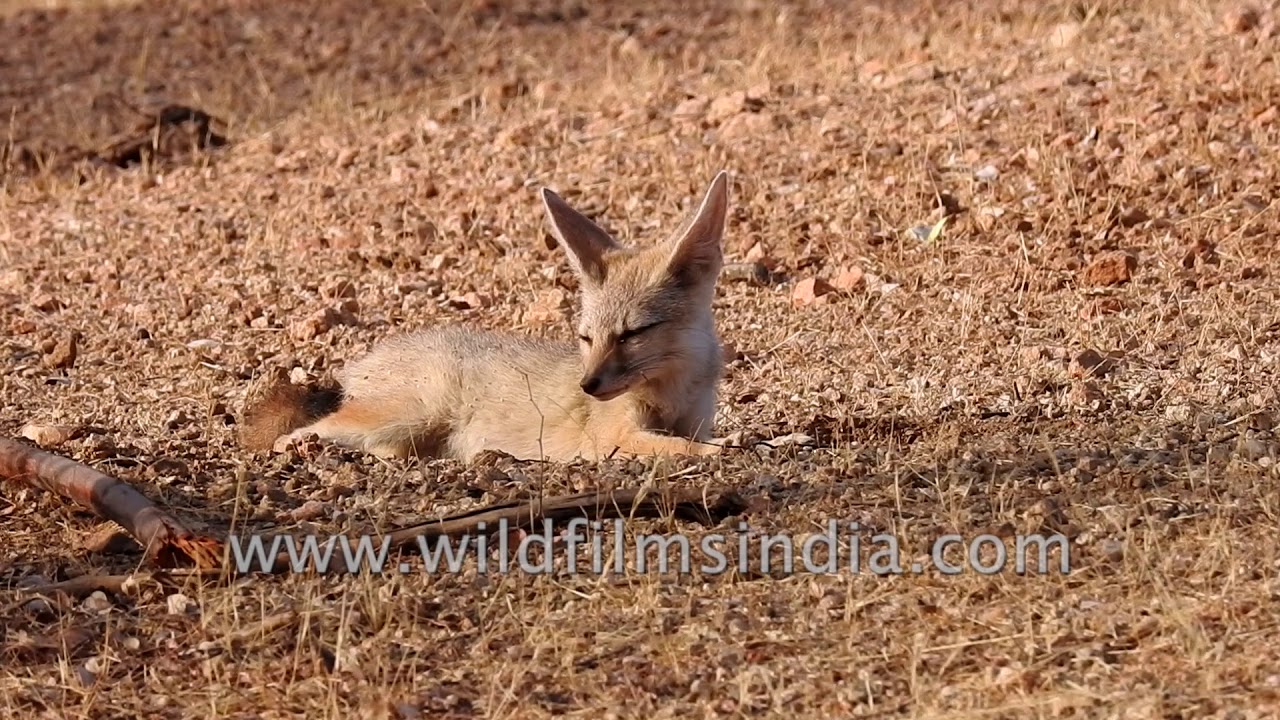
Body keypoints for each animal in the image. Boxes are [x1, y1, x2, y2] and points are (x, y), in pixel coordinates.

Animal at [239, 171, 739, 464]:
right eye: (586, 337)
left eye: (633, 333)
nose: (587, 386)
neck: (672, 392)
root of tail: (359, 364)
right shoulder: (612, 438)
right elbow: (681, 446)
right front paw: (722, 448)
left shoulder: (693, 417)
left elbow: (690, 438)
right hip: (407, 414)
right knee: (303, 431)